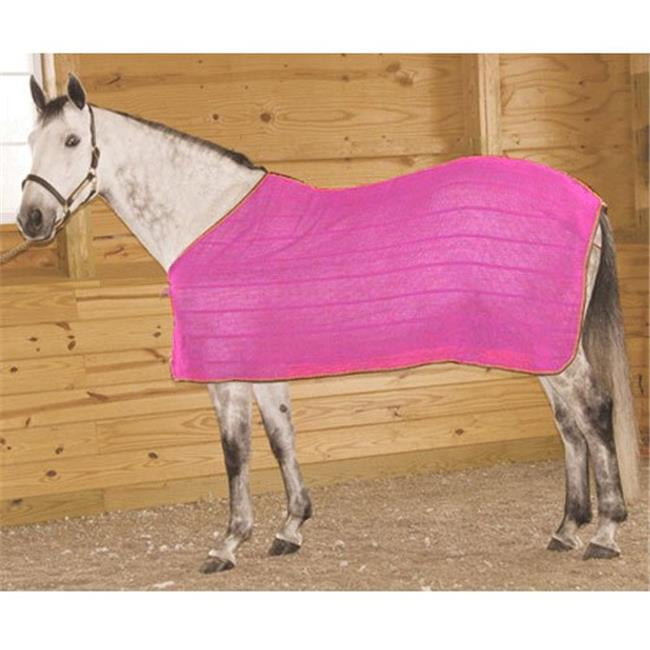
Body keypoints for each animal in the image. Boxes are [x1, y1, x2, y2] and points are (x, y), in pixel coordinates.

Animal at [16, 74, 640, 573]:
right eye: (29, 142)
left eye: (72, 141)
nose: (31, 219)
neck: (209, 218)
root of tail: (591, 201)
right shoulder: (263, 370)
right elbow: (281, 438)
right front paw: (290, 527)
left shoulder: (226, 375)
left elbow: (236, 453)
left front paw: (228, 544)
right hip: (543, 348)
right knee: (570, 426)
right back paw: (566, 528)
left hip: (554, 352)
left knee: (594, 411)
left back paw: (606, 532)